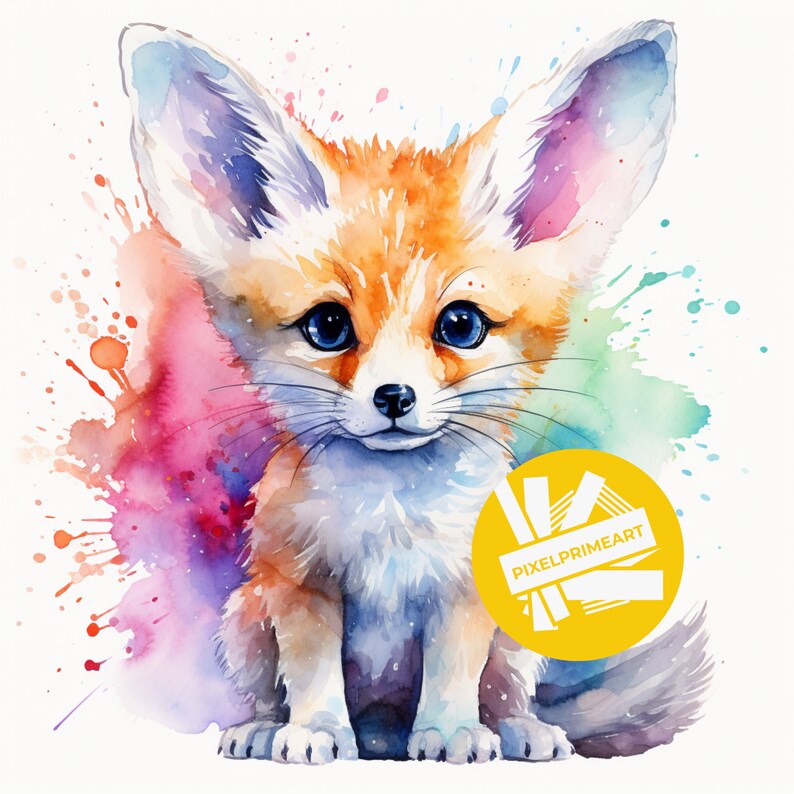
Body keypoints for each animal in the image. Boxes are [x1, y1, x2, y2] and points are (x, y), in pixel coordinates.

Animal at [118, 20, 709, 764]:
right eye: (328, 326)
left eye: (460, 325)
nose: (394, 397)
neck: (391, 517)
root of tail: (384, 731)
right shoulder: (302, 588)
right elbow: (310, 677)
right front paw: (316, 732)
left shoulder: (465, 590)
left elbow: (455, 675)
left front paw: (453, 734)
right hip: (245, 618)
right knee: (275, 692)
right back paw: (269, 730)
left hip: (514, 632)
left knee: (504, 692)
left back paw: (514, 731)